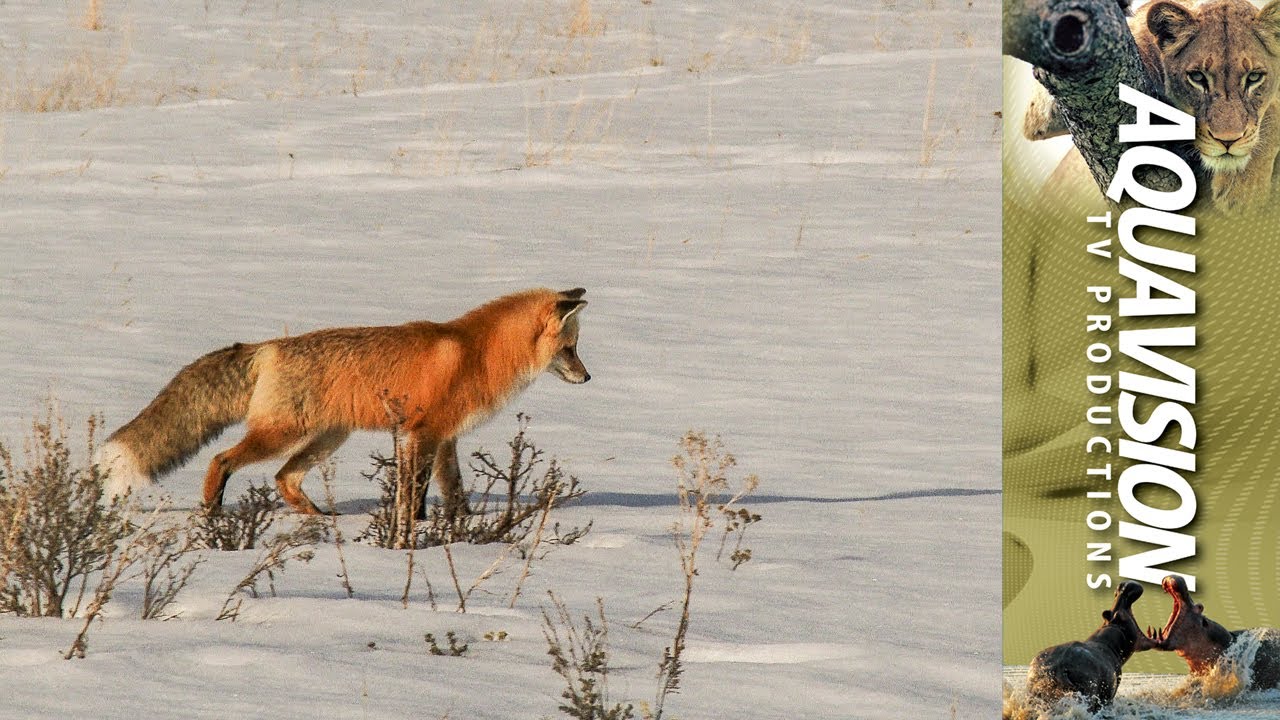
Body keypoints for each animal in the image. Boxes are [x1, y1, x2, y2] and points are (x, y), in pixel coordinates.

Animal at [97, 287, 590, 515]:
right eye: (570, 349)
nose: (588, 378)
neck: (478, 352)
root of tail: (269, 347)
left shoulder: (444, 438)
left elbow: (453, 493)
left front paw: (458, 531)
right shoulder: (422, 434)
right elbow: (414, 494)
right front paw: (414, 533)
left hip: (326, 439)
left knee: (284, 479)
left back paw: (320, 522)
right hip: (283, 434)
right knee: (222, 460)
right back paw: (213, 515)